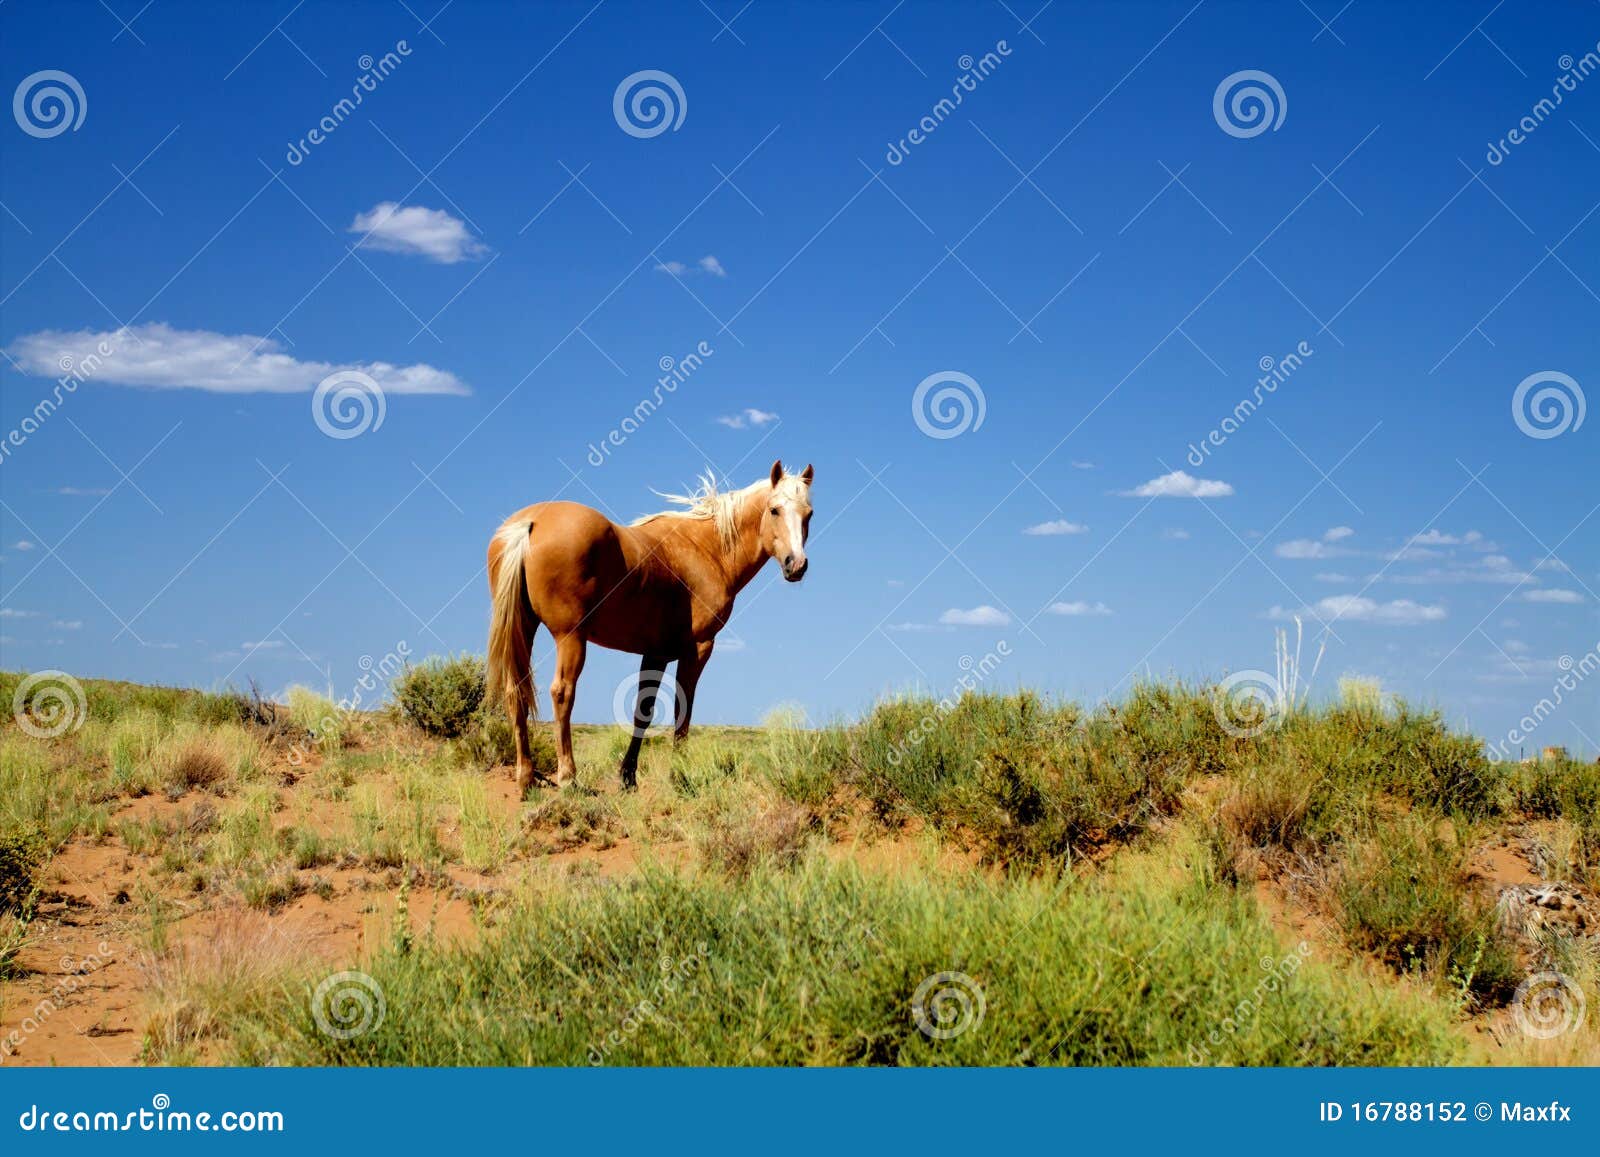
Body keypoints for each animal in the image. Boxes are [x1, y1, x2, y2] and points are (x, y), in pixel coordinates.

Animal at [485, 459, 813, 795]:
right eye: (774, 510)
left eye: (808, 514)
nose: (796, 564)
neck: (708, 549)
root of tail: (532, 522)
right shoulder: (698, 648)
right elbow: (683, 708)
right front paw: (679, 776)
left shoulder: (656, 654)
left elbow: (643, 711)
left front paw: (628, 778)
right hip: (570, 637)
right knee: (562, 693)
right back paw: (568, 777)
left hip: (524, 629)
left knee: (515, 691)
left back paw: (526, 776)